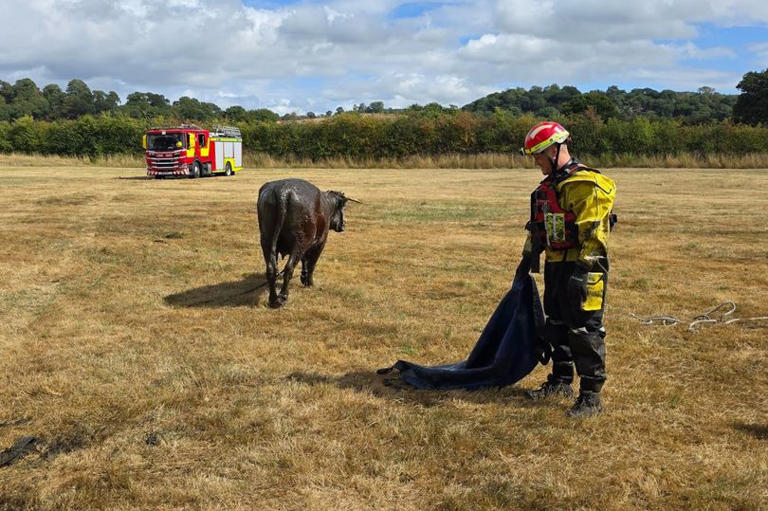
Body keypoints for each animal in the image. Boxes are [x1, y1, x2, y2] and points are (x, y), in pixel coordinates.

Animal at [257, 178, 360, 308]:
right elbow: (311, 264)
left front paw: (304, 277)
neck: (327, 205)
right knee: (289, 268)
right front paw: (309, 282)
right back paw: (283, 297)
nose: (344, 223)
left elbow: (304, 261)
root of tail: (283, 191)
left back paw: (272, 298)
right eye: (343, 207)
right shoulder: (320, 243)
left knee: (271, 269)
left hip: (267, 240)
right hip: (299, 242)